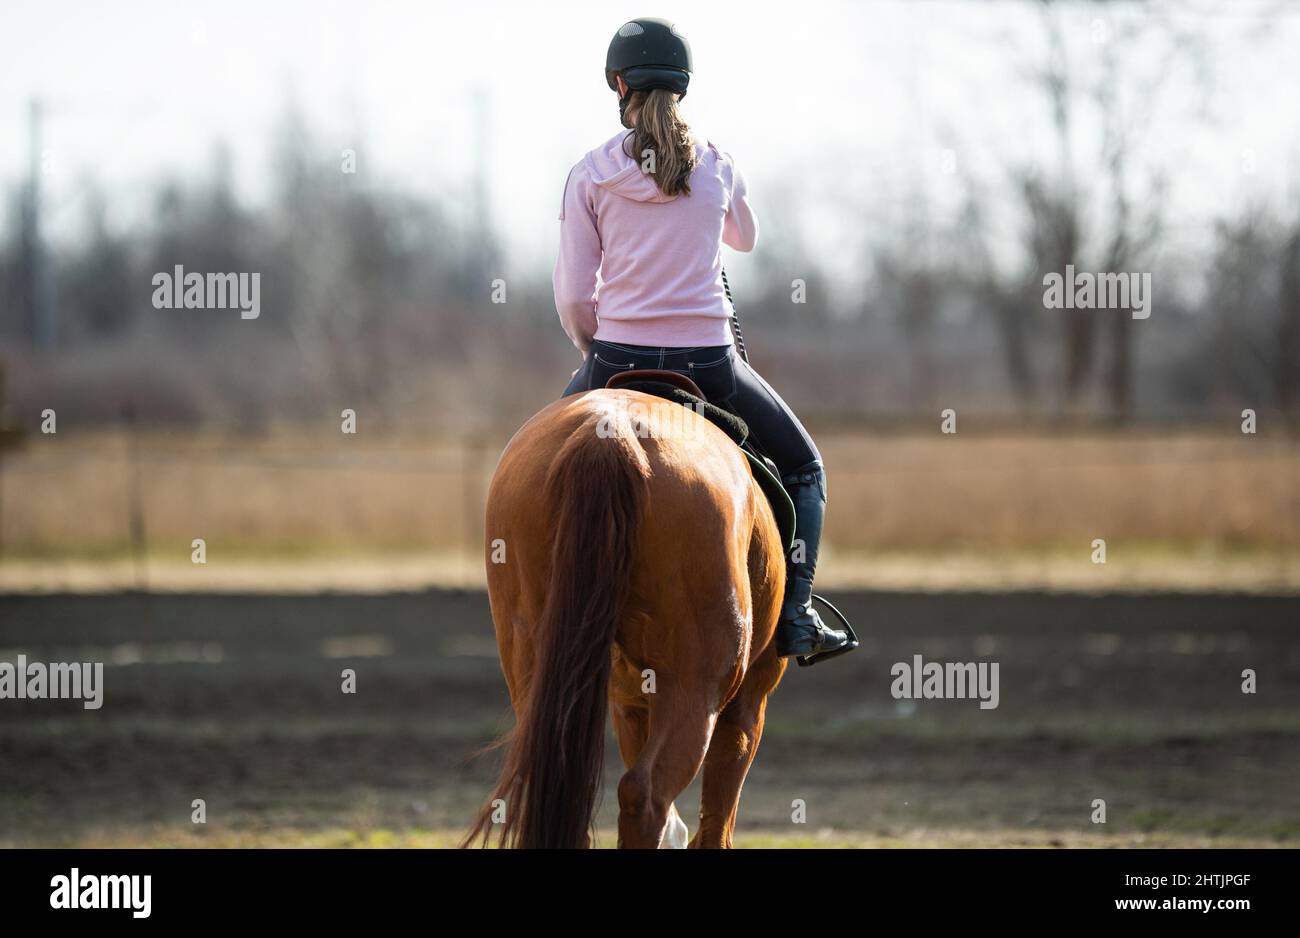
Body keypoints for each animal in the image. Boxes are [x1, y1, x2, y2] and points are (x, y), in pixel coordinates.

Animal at [464, 384, 788, 848]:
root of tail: (609, 434)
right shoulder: (748, 701)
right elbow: (717, 821)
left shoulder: (630, 703)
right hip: (699, 684)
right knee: (646, 794)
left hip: (534, 667)